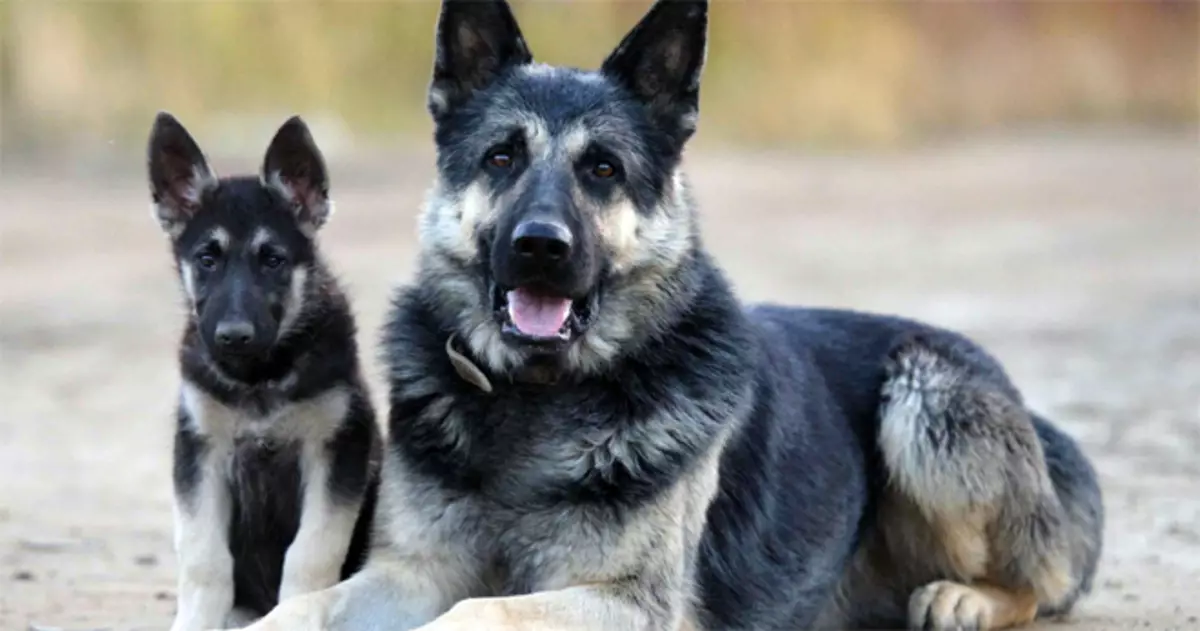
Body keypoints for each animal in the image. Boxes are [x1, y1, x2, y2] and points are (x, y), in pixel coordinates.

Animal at [147, 113, 379, 631]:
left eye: (272, 260)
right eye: (207, 259)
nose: (234, 336)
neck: (259, 378)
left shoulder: (337, 450)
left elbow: (311, 552)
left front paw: (296, 612)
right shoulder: (200, 450)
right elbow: (204, 558)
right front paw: (196, 621)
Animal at [229, 1, 1099, 631]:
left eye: (603, 169)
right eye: (501, 157)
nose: (539, 247)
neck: (540, 399)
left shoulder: (625, 599)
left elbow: (478, 611)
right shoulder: (410, 572)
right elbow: (303, 605)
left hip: (923, 397)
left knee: (1044, 578)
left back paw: (968, 596)